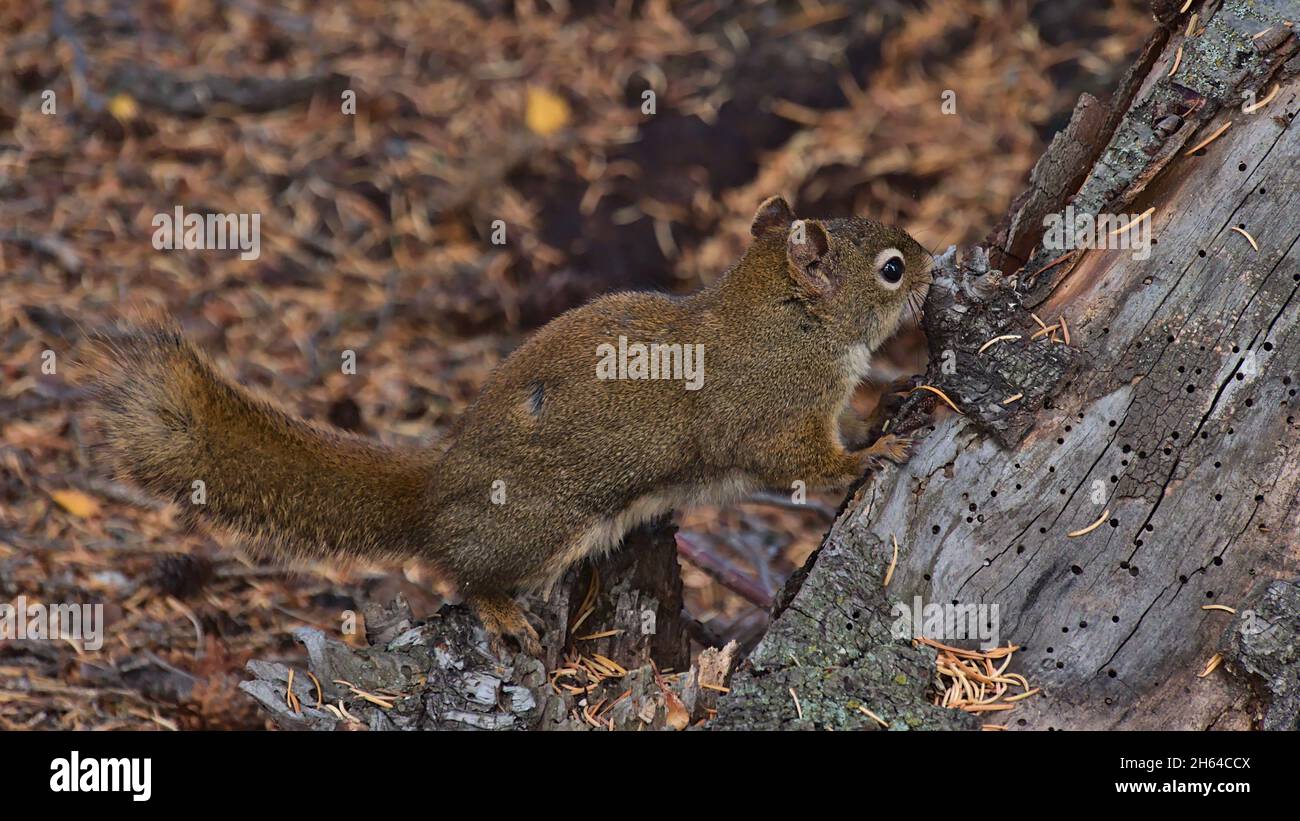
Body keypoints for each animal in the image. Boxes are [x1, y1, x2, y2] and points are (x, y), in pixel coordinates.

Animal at [90, 196, 933, 656]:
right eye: (892, 267)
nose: (937, 264)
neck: (785, 316)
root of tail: (435, 490)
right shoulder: (773, 410)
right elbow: (798, 460)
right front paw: (875, 451)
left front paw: (891, 396)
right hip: (535, 526)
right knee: (462, 571)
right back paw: (497, 607)